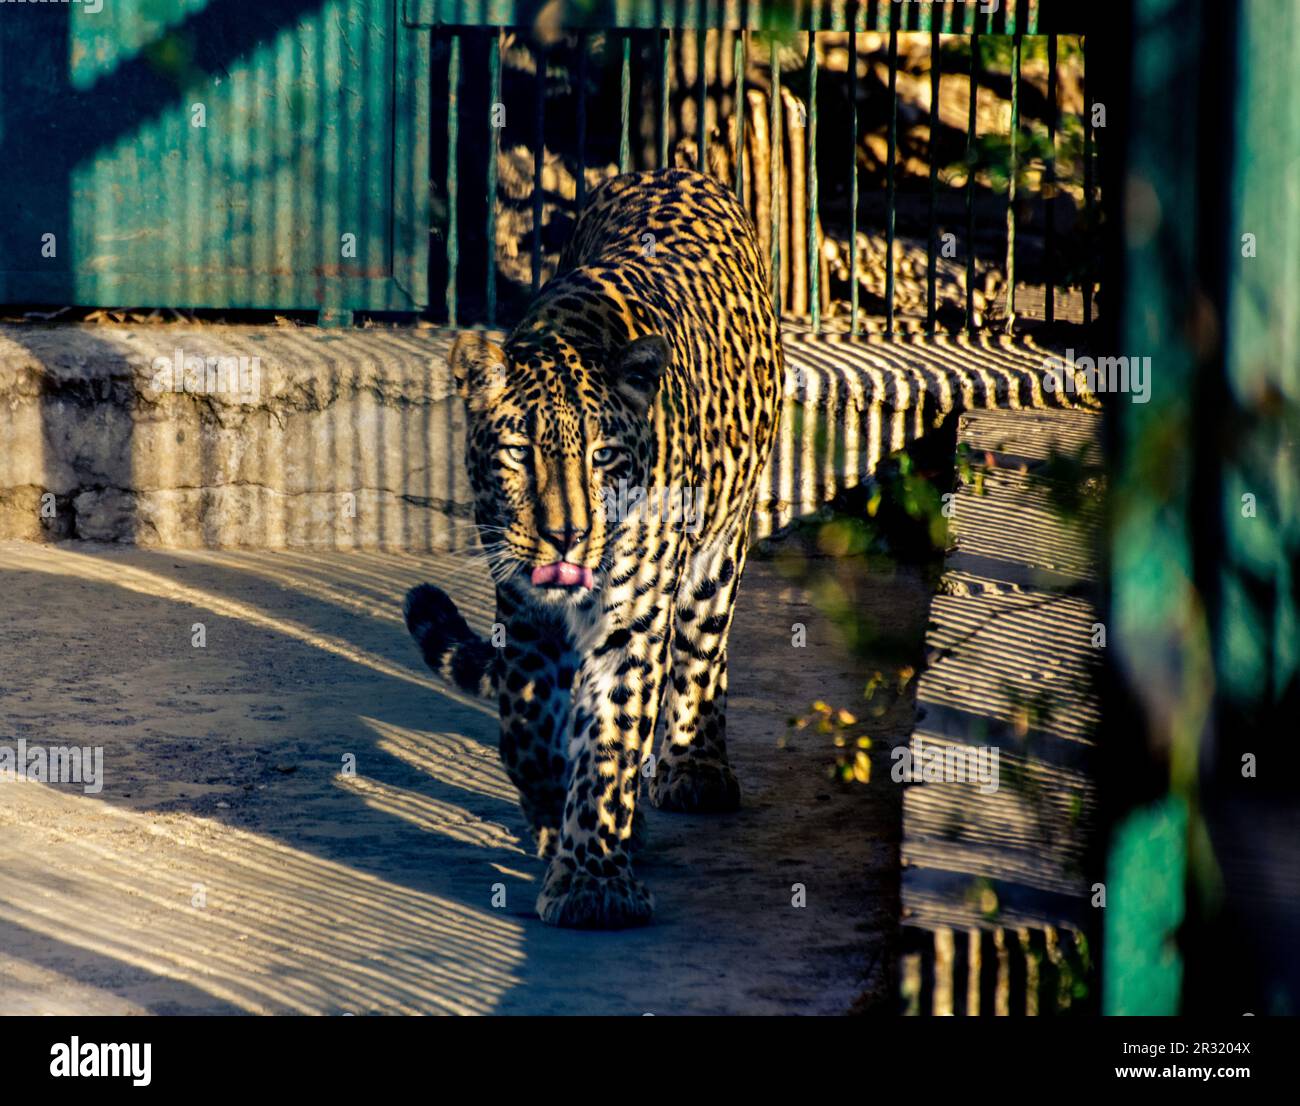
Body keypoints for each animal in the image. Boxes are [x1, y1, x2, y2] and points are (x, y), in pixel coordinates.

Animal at [404, 168, 783, 929]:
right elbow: (527, 729)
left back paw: (694, 769)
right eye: (519, 453)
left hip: (719, 551)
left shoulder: (633, 620)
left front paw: (594, 879)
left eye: (602, 457)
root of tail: (674, 168)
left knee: (702, 654)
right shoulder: (523, 615)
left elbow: (611, 740)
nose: (566, 537)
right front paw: (555, 823)